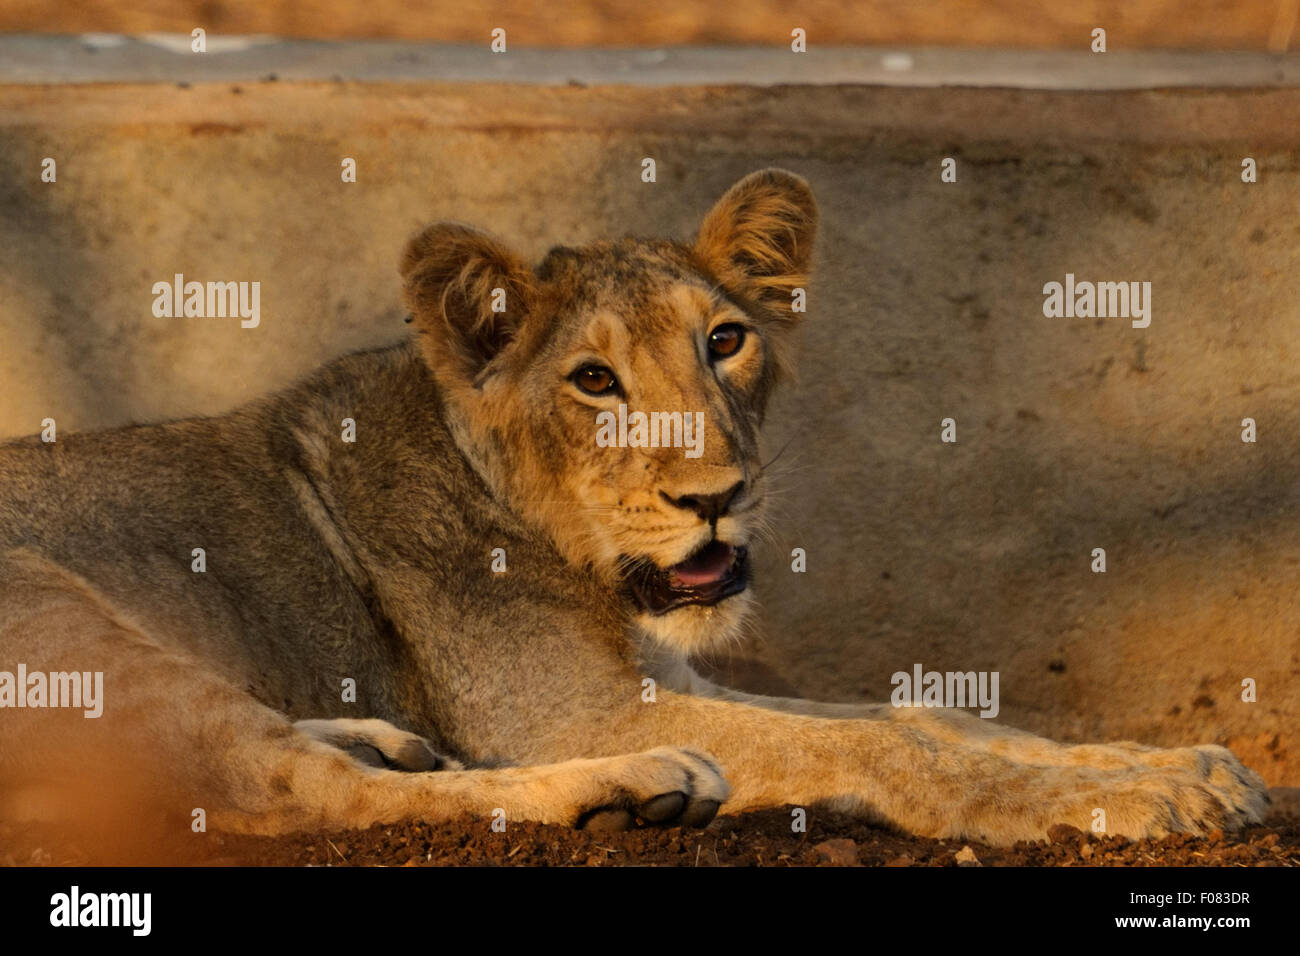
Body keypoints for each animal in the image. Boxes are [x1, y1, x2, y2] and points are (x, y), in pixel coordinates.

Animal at [0, 169, 1267, 851]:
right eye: (593, 380)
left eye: (727, 340)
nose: (718, 497)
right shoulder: (569, 709)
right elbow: (882, 739)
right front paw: (1137, 791)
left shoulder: (668, 671)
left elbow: (936, 715)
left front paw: (1180, 759)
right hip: (63, 609)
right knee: (282, 791)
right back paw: (633, 787)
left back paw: (387, 738)